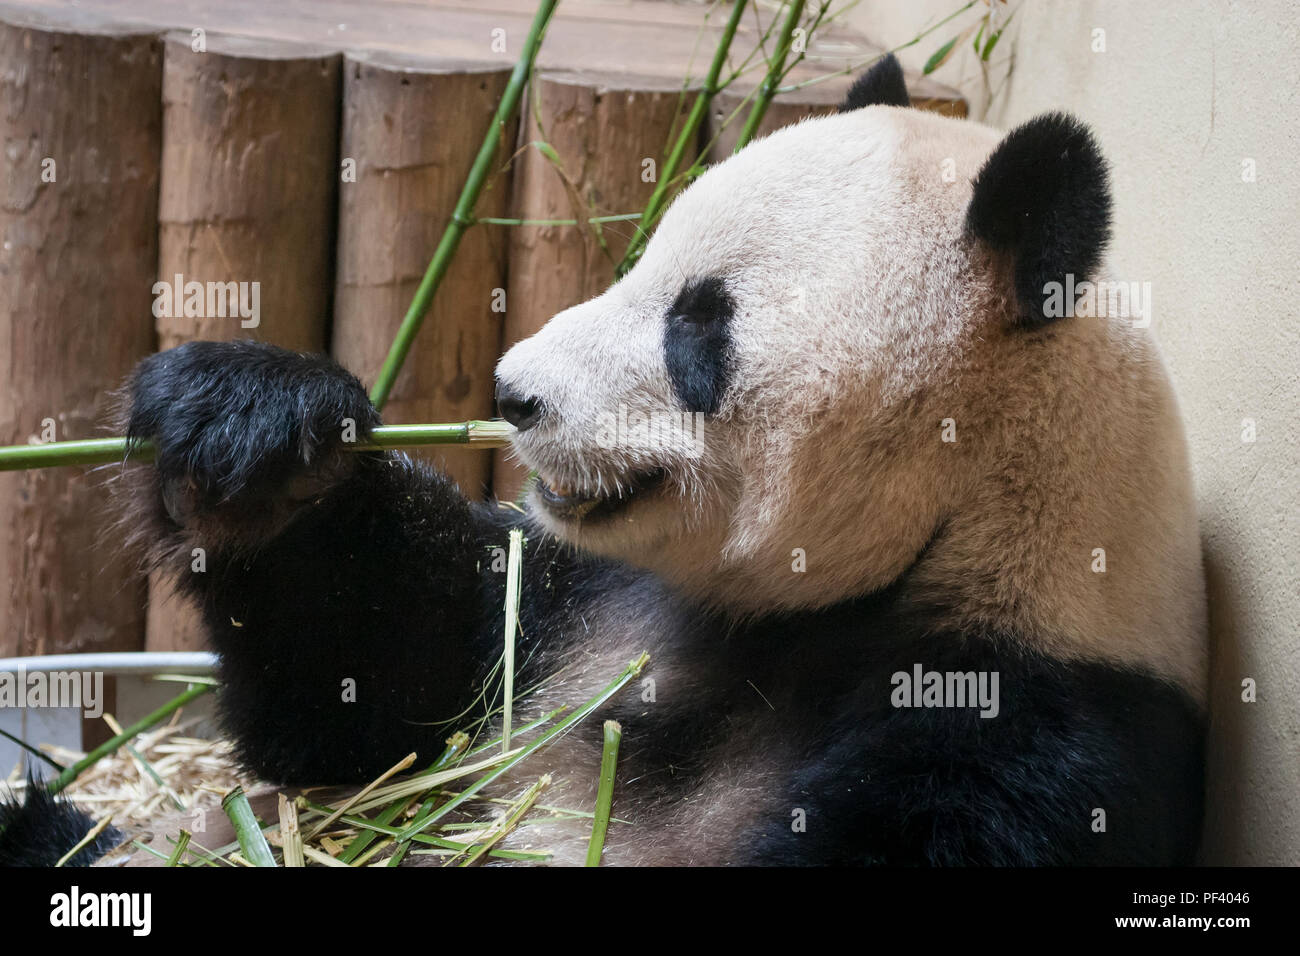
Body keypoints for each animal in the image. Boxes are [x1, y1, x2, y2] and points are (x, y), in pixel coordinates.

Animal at [0, 54, 1206, 867]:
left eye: (696, 330)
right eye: (644, 260)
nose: (514, 392)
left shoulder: (1015, 725)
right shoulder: (587, 610)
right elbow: (382, 692)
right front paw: (252, 434)